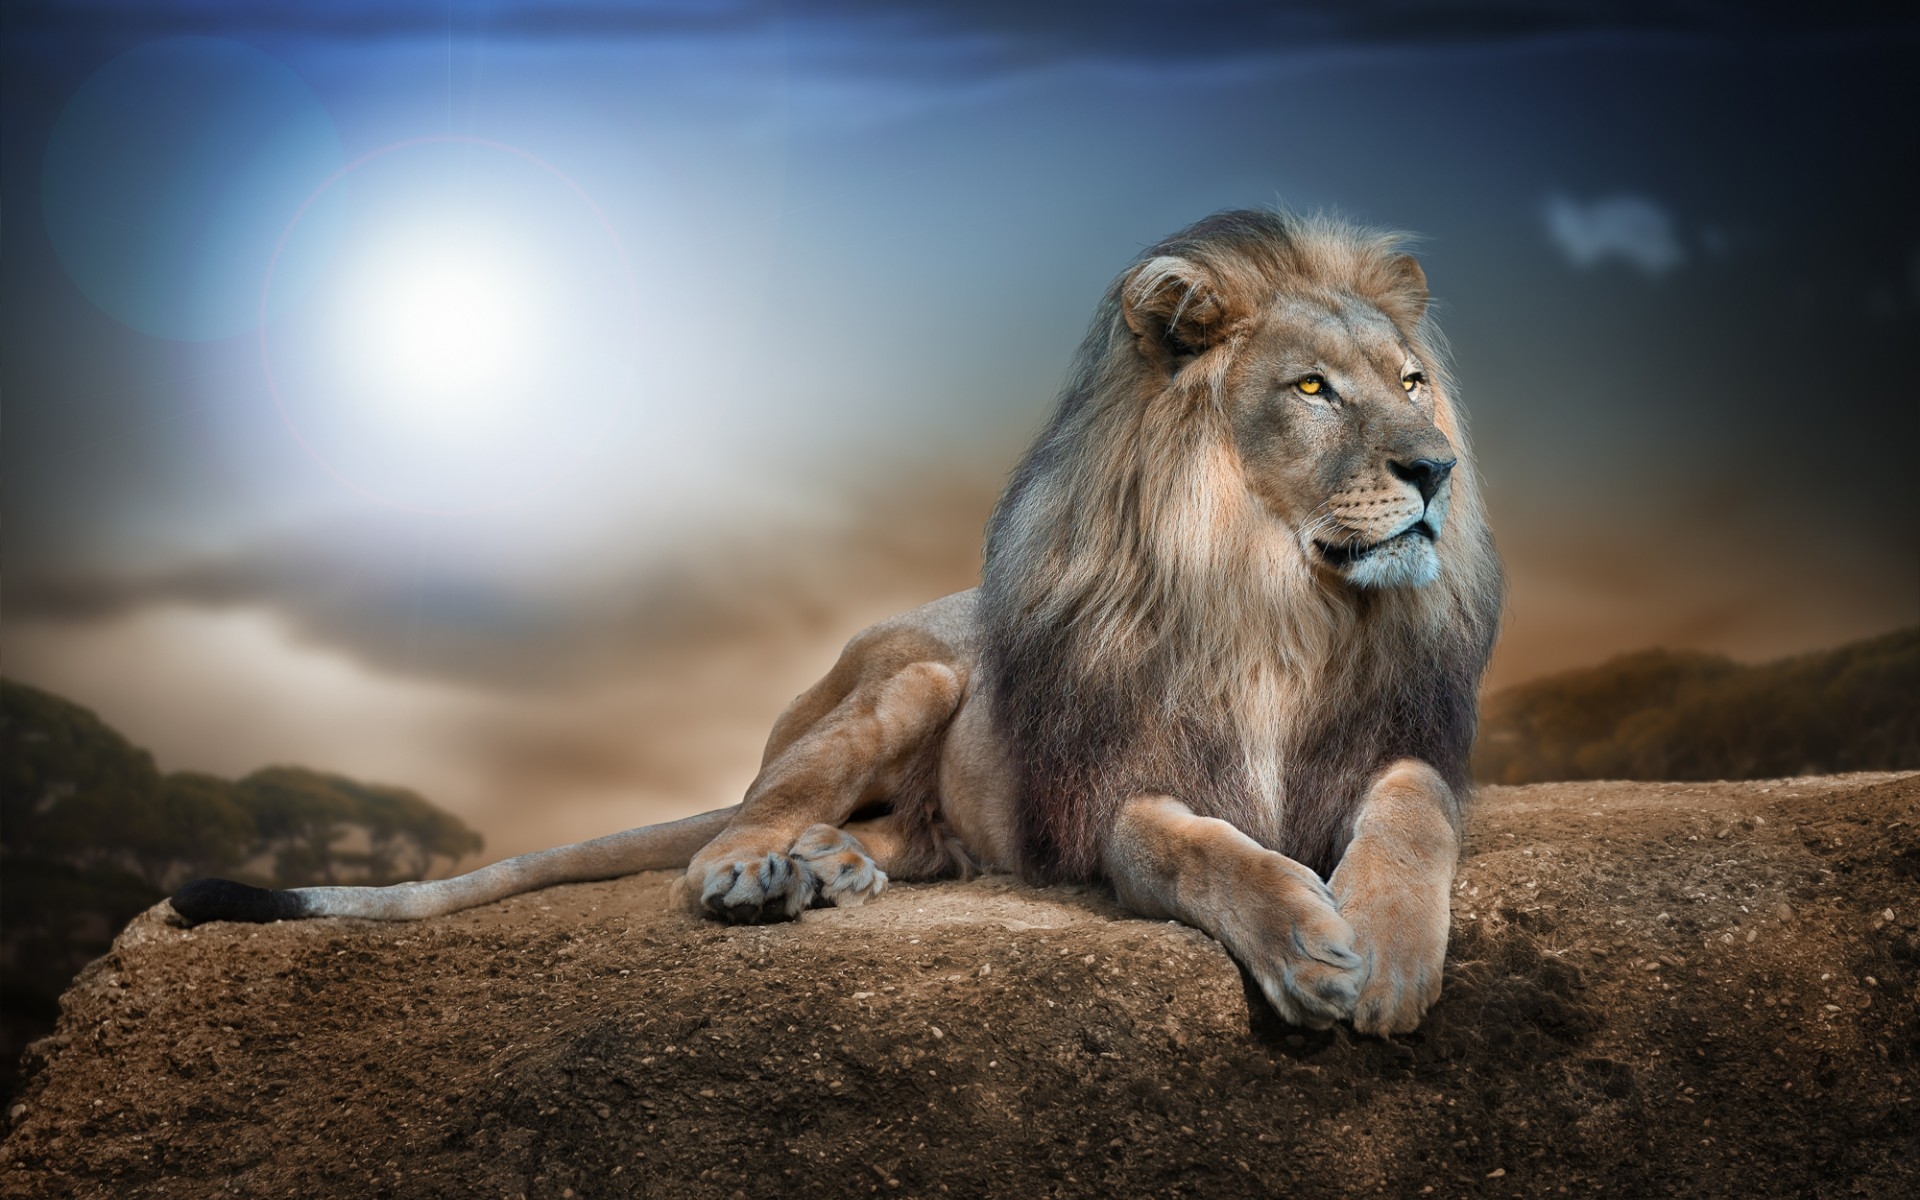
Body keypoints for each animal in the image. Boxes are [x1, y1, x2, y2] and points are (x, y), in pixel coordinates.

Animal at [173, 209, 1503, 1035]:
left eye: (1414, 382)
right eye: (1313, 389)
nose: (1436, 469)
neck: (1278, 603)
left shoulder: (1398, 747)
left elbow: (1412, 815)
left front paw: (1385, 952)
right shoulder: (1115, 795)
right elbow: (1201, 848)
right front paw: (1308, 944)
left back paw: (834, 868)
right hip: (913, 681)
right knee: (733, 826)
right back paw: (764, 872)